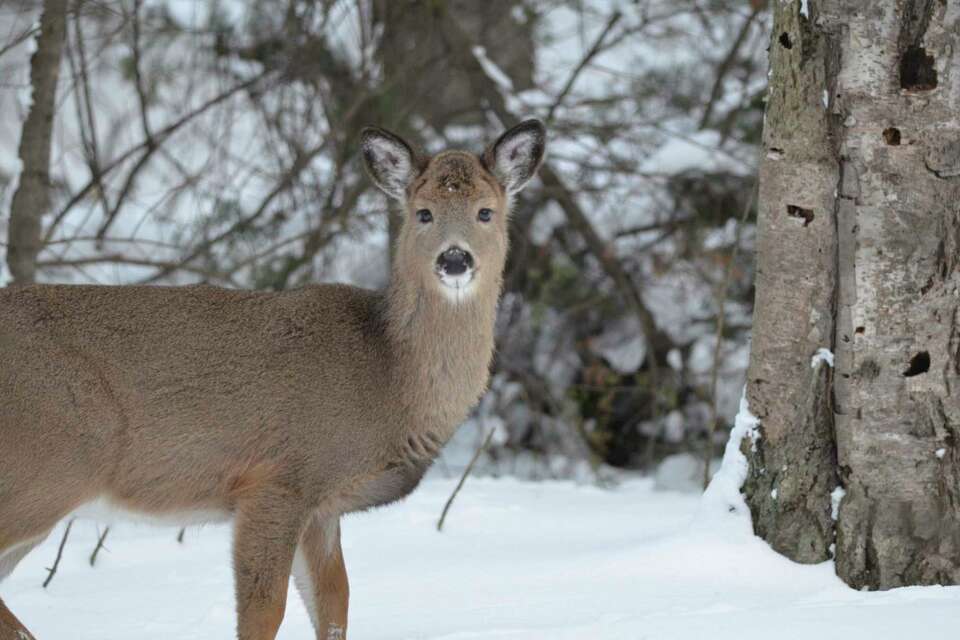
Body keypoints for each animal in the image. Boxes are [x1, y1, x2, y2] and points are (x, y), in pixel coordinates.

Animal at [0, 120, 546, 640]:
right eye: (423, 213)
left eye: (485, 212)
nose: (454, 260)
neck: (387, 374)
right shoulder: (277, 479)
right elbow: (265, 612)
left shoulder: (322, 508)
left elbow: (335, 606)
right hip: (53, 459)